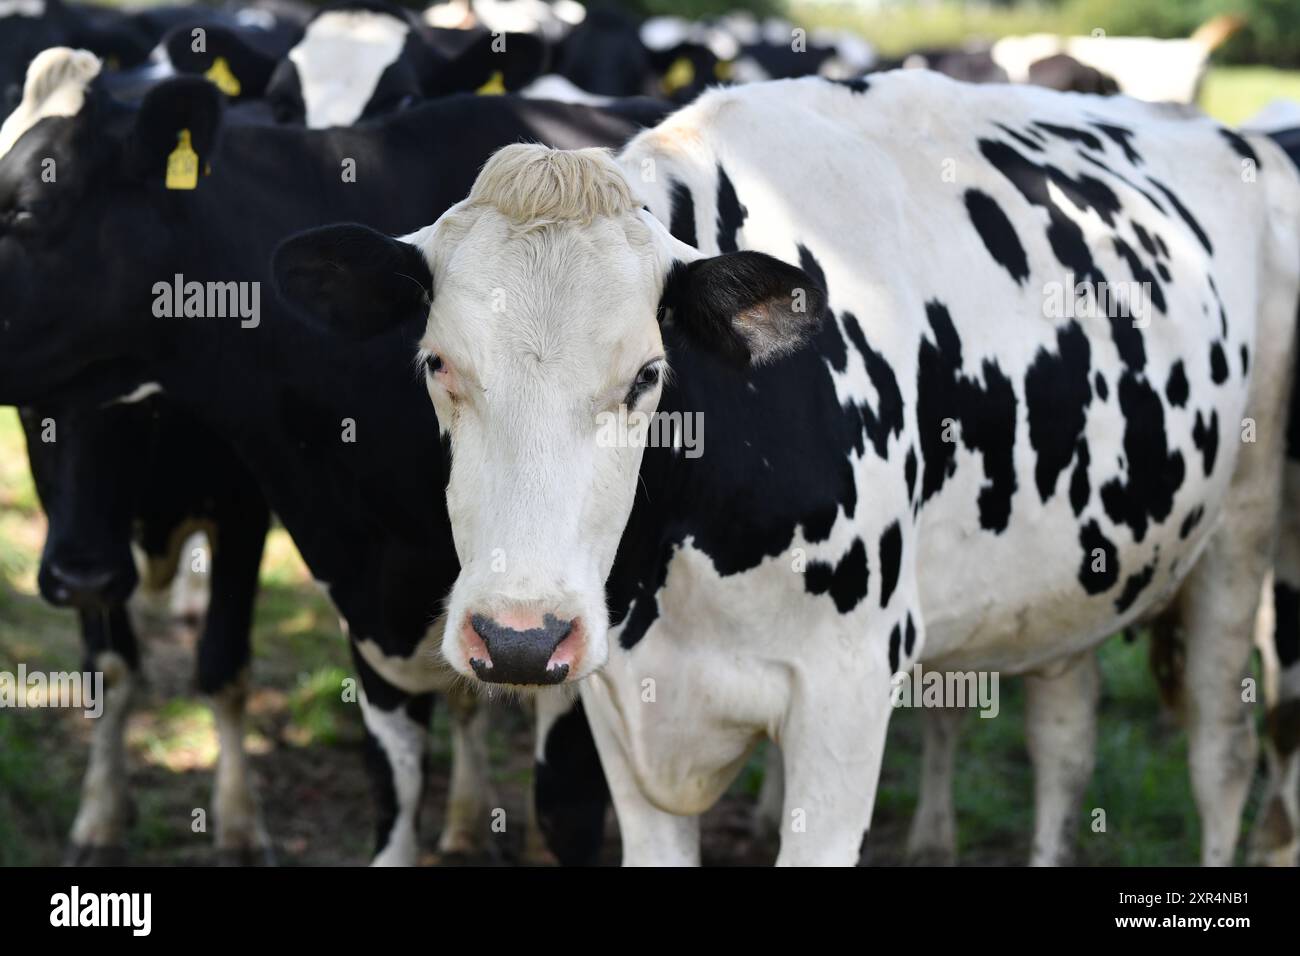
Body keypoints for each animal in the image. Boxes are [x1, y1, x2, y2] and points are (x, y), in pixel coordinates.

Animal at [19, 392, 272, 864]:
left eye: (139, 410)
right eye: (29, 411)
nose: (82, 577)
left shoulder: (245, 508)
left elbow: (223, 667)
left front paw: (240, 822)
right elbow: (110, 670)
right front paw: (101, 818)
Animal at [275, 73, 1300, 865]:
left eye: (647, 374)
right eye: (438, 364)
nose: (520, 639)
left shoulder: (846, 697)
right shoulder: (618, 706)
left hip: (1245, 535)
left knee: (1221, 755)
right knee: (1064, 742)